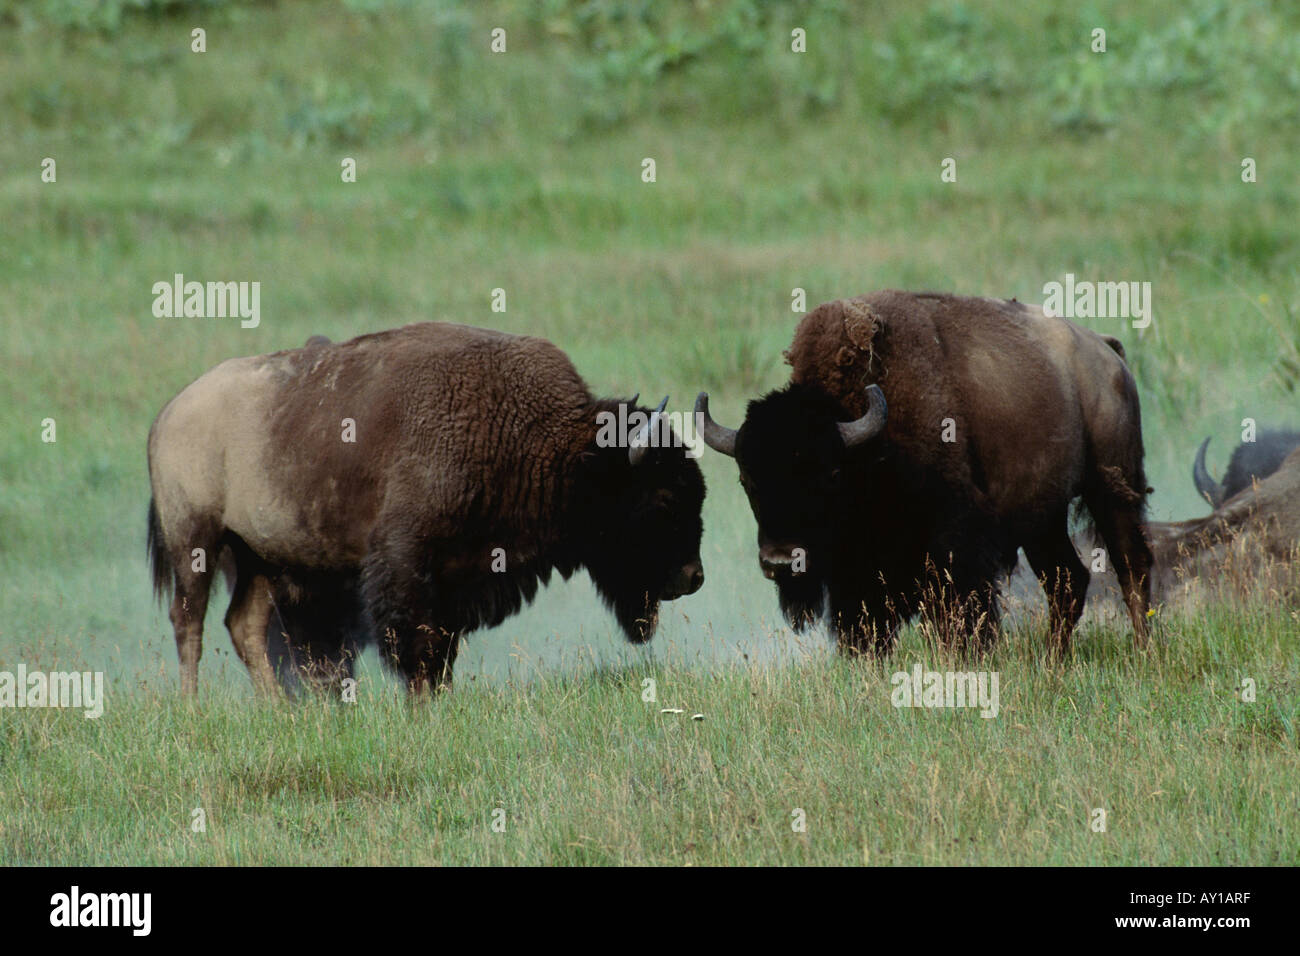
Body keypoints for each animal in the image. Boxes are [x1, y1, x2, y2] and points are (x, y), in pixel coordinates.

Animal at [147, 322, 707, 696]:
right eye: (662, 500)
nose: (693, 577)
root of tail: (169, 413)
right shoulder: (406, 565)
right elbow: (417, 649)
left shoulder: (455, 584)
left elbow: (441, 652)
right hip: (195, 540)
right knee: (188, 623)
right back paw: (192, 709)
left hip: (261, 556)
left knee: (243, 626)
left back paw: (278, 712)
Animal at [695, 291, 1152, 655]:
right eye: (748, 480)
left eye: (829, 475)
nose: (780, 561)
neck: (870, 448)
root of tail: (1105, 352)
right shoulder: (856, 575)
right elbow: (865, 630)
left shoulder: (955, 550)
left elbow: (961, 618)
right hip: (1044, 517)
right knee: (1067, 580)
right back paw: (1052, 660)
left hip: (1113, 489)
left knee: (1132, 567)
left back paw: (1143, 653)